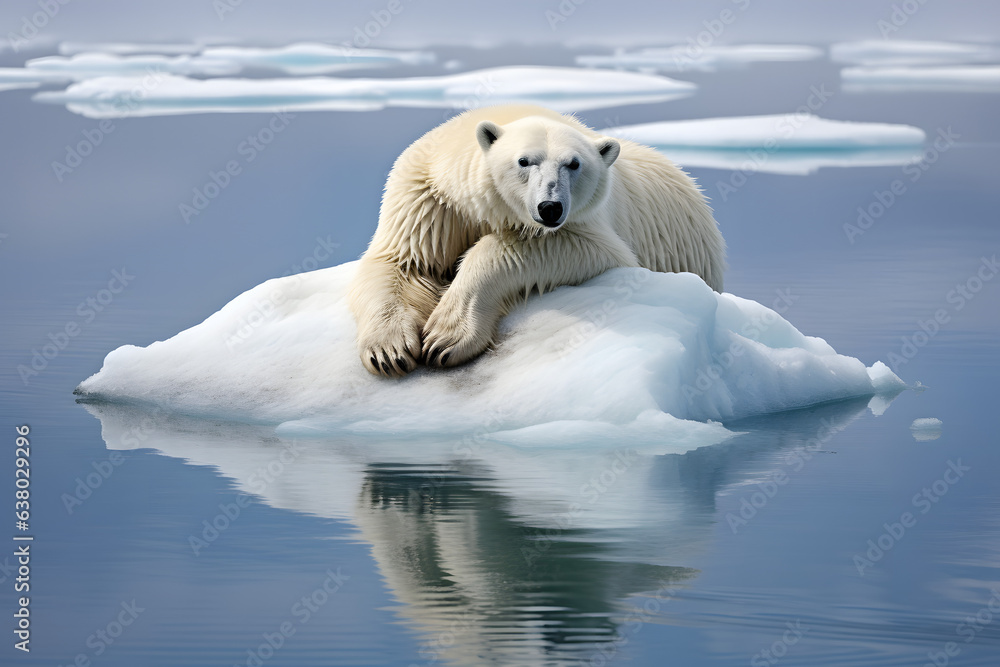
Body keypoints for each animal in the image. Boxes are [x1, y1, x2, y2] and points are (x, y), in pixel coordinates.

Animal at [349, 104, 725, 377]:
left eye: (574, 164)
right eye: (524, 161)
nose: (550, 207)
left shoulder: (589, 226)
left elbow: (570, 248)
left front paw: (446, 338)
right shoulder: (432, 202)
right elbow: (402, 262)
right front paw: (389, 351)